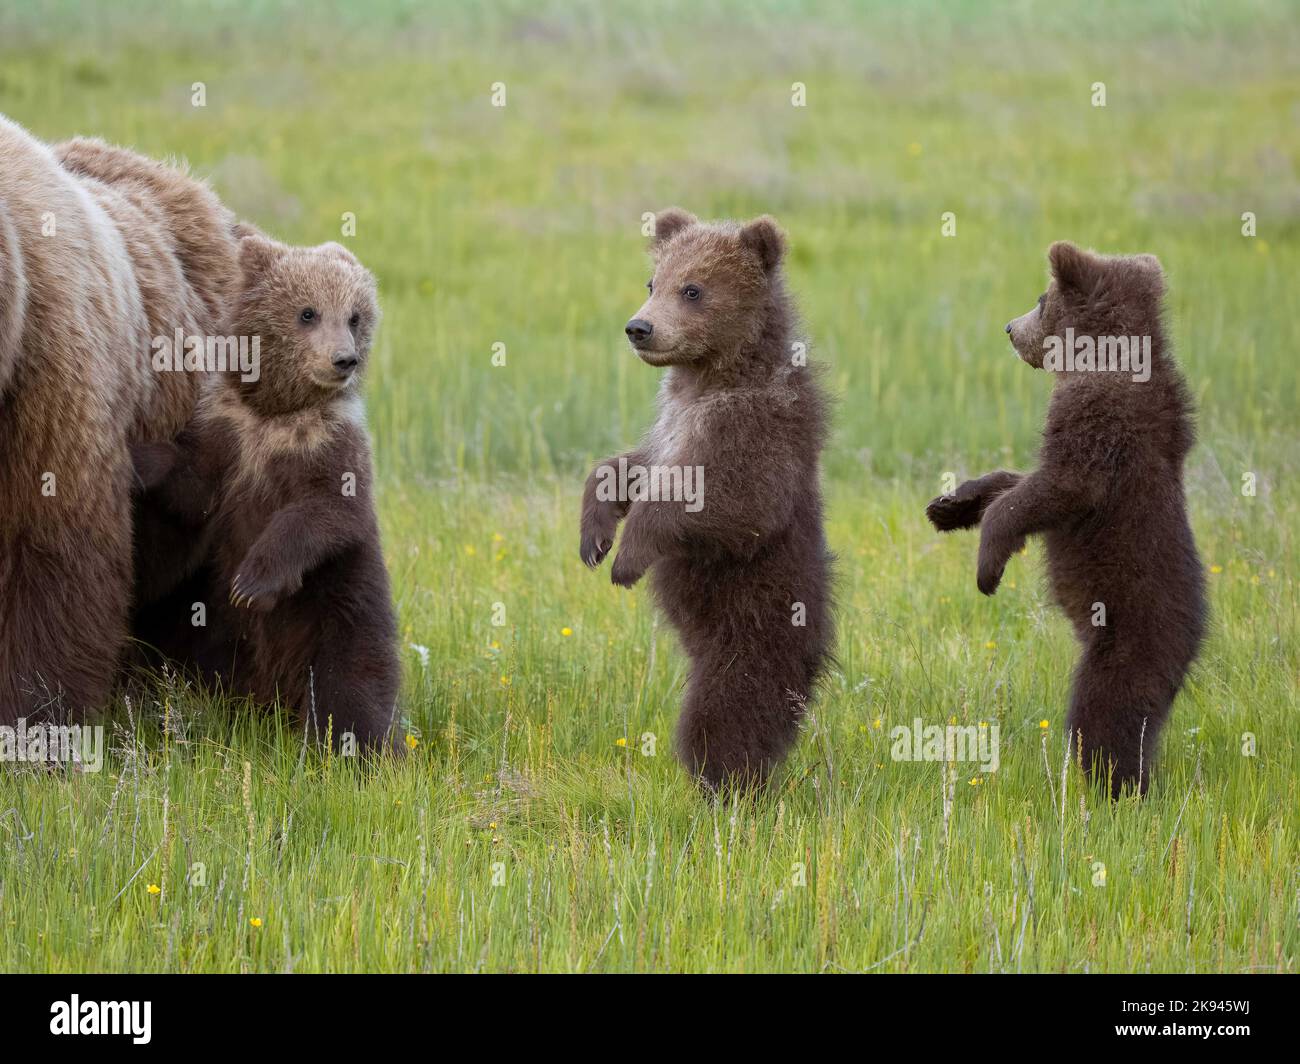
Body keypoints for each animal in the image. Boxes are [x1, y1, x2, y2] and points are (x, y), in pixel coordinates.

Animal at [135, 228, 401, 750]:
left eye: (354, 315)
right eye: (308, 312)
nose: (343, 359)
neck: (277, 413)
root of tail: (274, 691)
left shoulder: (331, 446)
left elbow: (326, 511)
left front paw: (253, 582)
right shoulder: (228, 436)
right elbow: (191, 487)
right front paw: (138, 459)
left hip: (343, 599)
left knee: (353, 680)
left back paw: (354, 748)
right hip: (212, 620)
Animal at [580, 208, 833, 793]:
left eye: (693, 289)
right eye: (652, 282)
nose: (639, 327)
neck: (708, 377)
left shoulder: (756, 427)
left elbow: (734, 502)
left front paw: (627, 558)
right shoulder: (669, 428)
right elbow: (626, 469)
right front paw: (594, 537)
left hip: (750, 631)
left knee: (725, 713)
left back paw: (721, 783)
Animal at [926, 241, 1207, 797]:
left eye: (1040, 299)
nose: (1009, 328)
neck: (1100, 355)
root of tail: (1194, 638)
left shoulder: (1100, 424)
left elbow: (1057, 487)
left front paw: (987, 568)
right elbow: (1017, 481)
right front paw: (951, 505)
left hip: (1127, 640)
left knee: (1104, 716)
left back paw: (1112, 788)